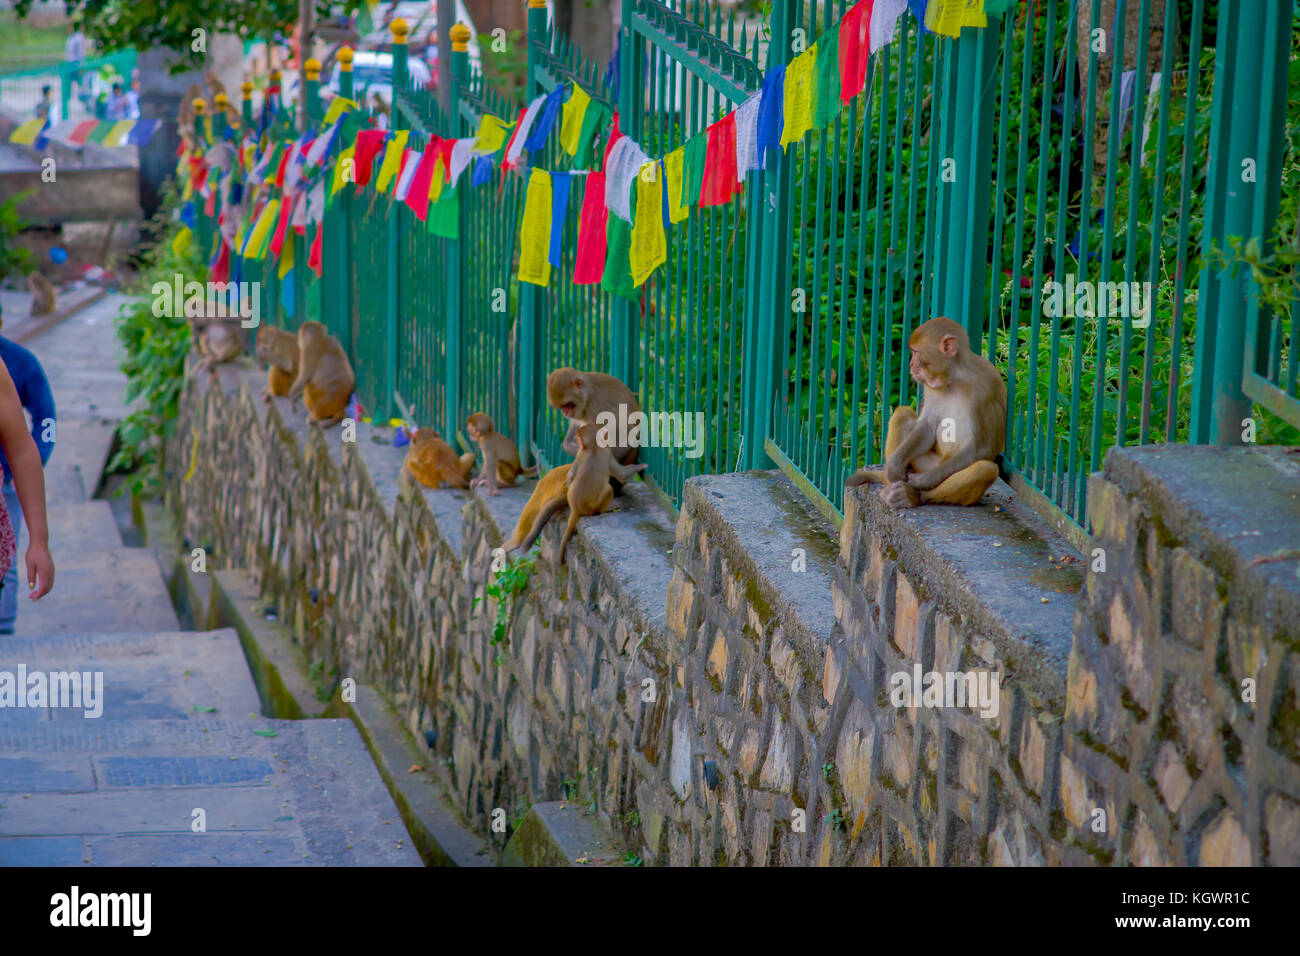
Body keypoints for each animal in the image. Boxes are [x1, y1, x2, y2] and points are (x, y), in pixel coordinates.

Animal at [846, 316, 1005, 510]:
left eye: (916, 352)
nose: (911, 364)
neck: (954, 378)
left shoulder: (985, 388)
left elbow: (983, 447)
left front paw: (922, 481)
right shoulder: (931, 387)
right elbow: (927, 427)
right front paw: (894, 465)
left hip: (939, 468)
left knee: (985, 469)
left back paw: (913, 496)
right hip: (924, 463)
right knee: (903, 414)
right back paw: (890, 482)